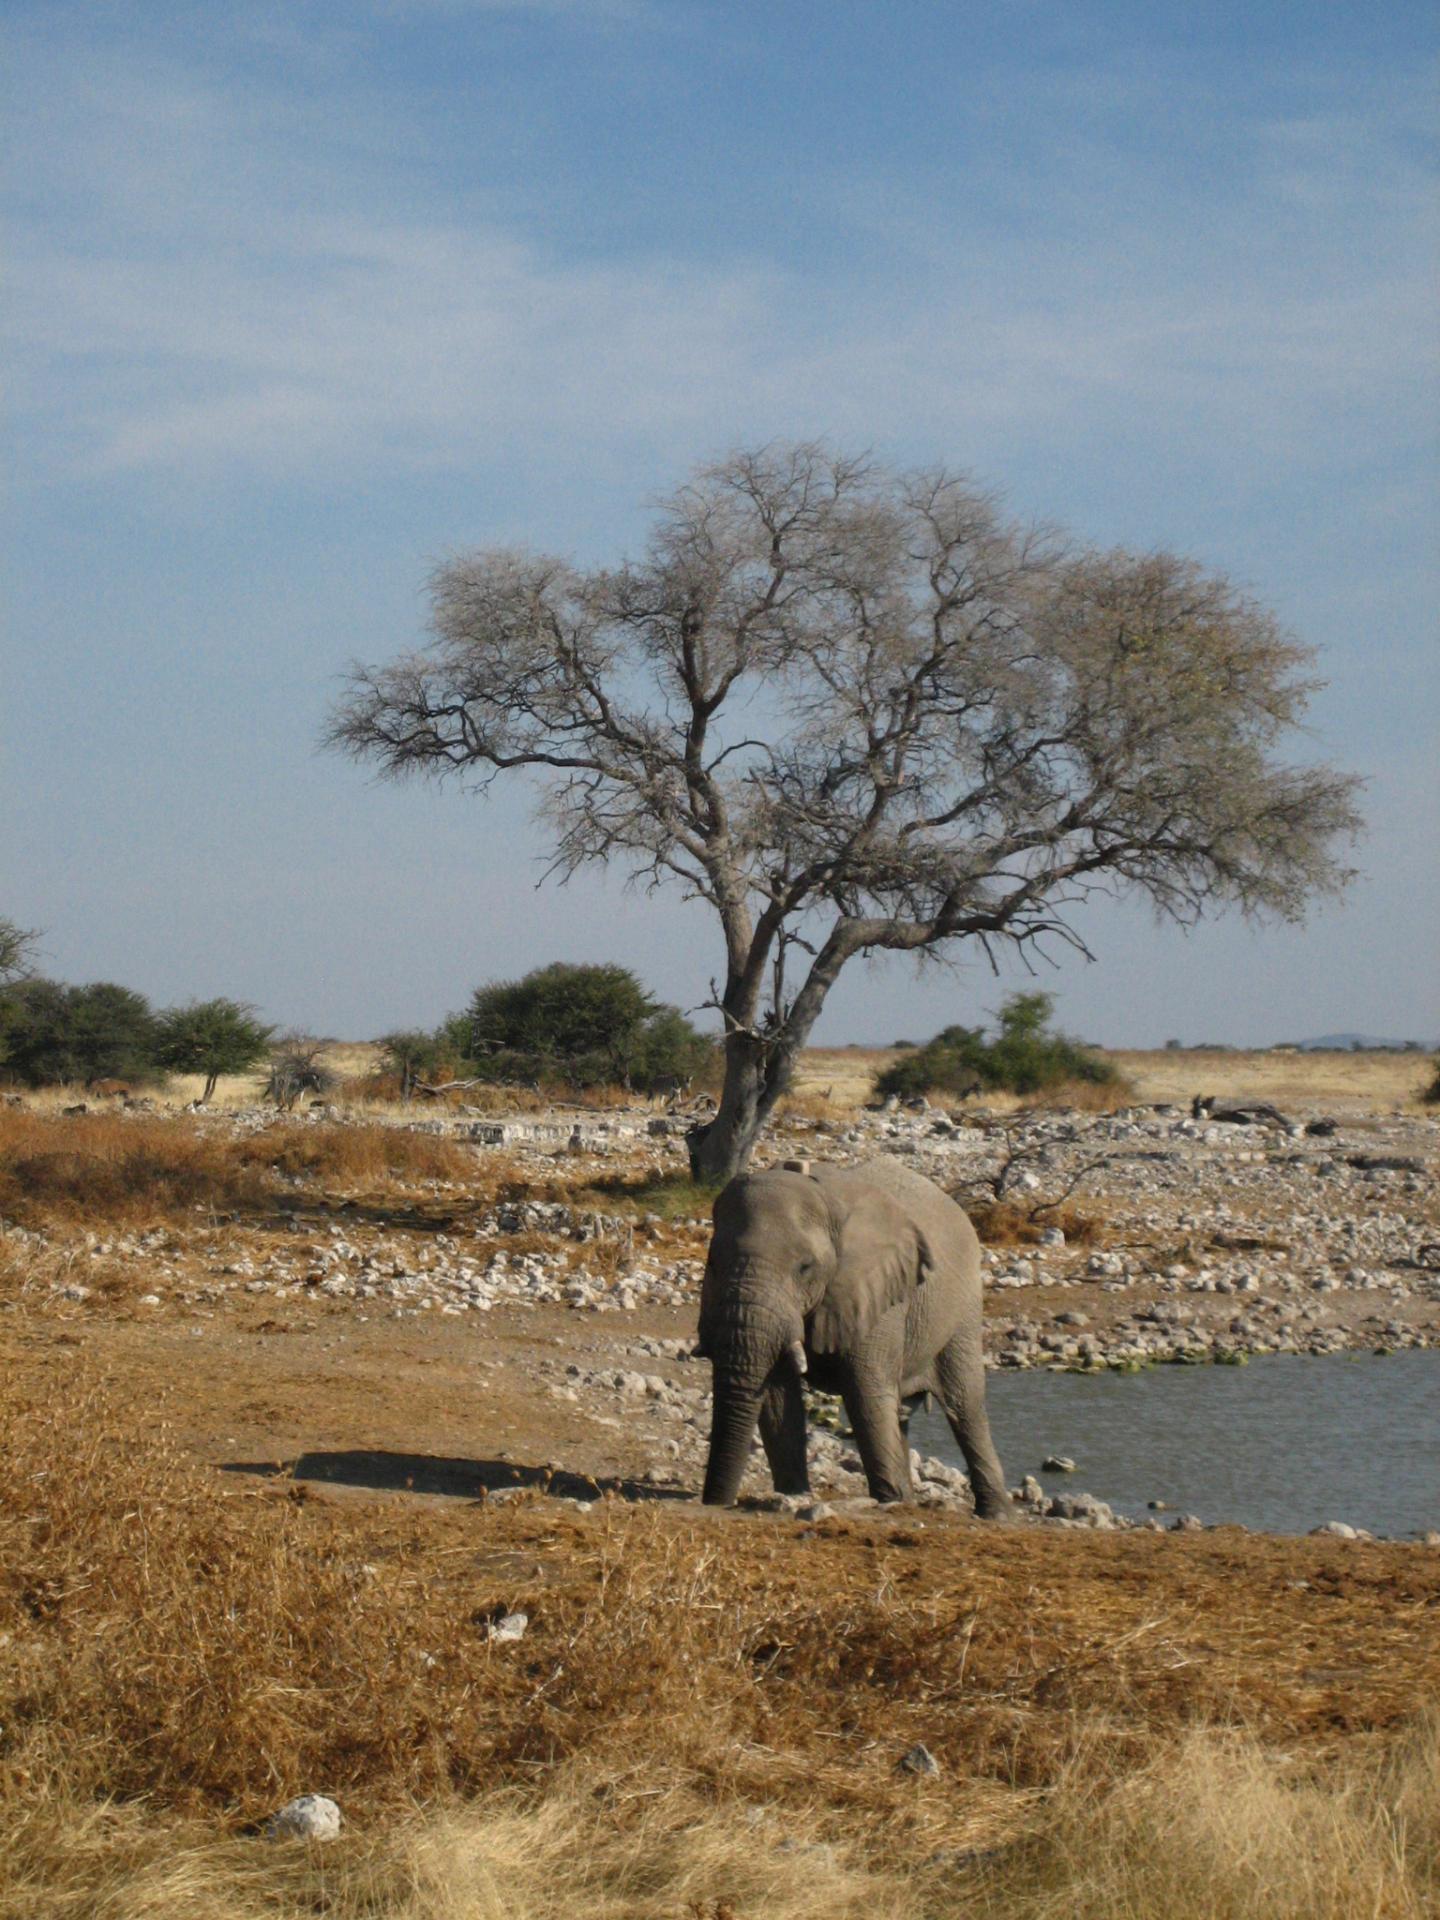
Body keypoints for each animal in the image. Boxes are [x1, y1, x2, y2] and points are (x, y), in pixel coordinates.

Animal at [696, 1156, 1012, 1515]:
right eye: (712, 1262)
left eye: (805, 1268)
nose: (714, 1503)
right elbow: (777, 1396)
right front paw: (793, 1495)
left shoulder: (877, 1293)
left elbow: (866, 1391)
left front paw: (887, 1501)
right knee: (902, 1412)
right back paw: (910, 1498)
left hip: (964, 1310)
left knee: (965, 1406)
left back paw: (995, 1514)